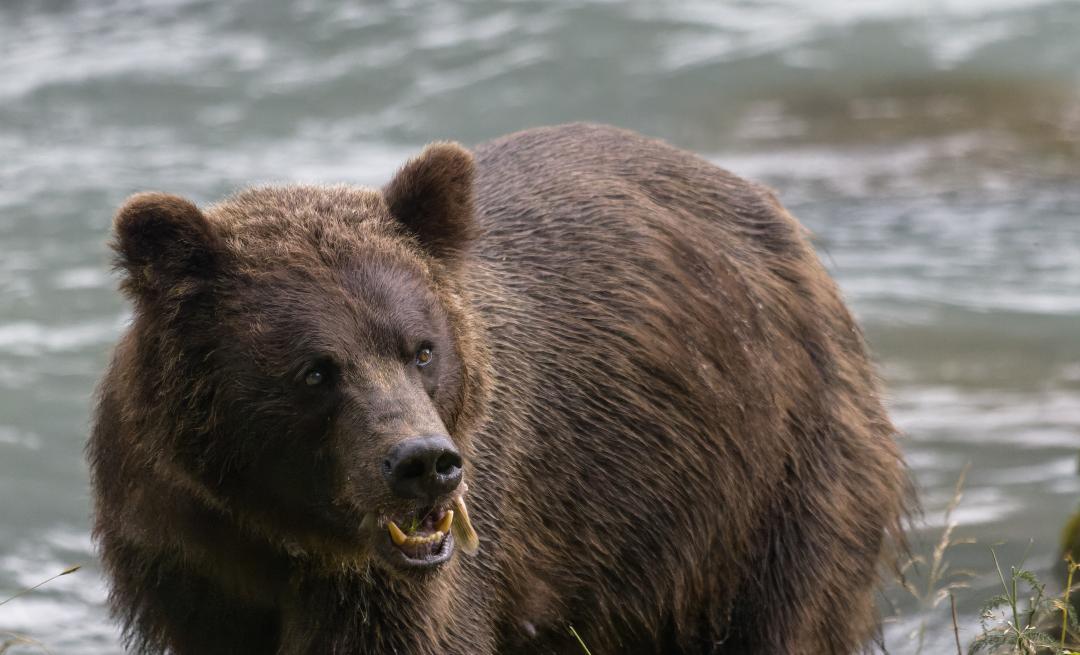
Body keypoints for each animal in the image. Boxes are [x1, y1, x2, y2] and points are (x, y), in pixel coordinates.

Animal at [88, 123, 909, 655]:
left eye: (421, 349)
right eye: (316, 369)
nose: (422, 462)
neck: (278, 531)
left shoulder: (428, 566)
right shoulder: (182, 552)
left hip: (766, 476)